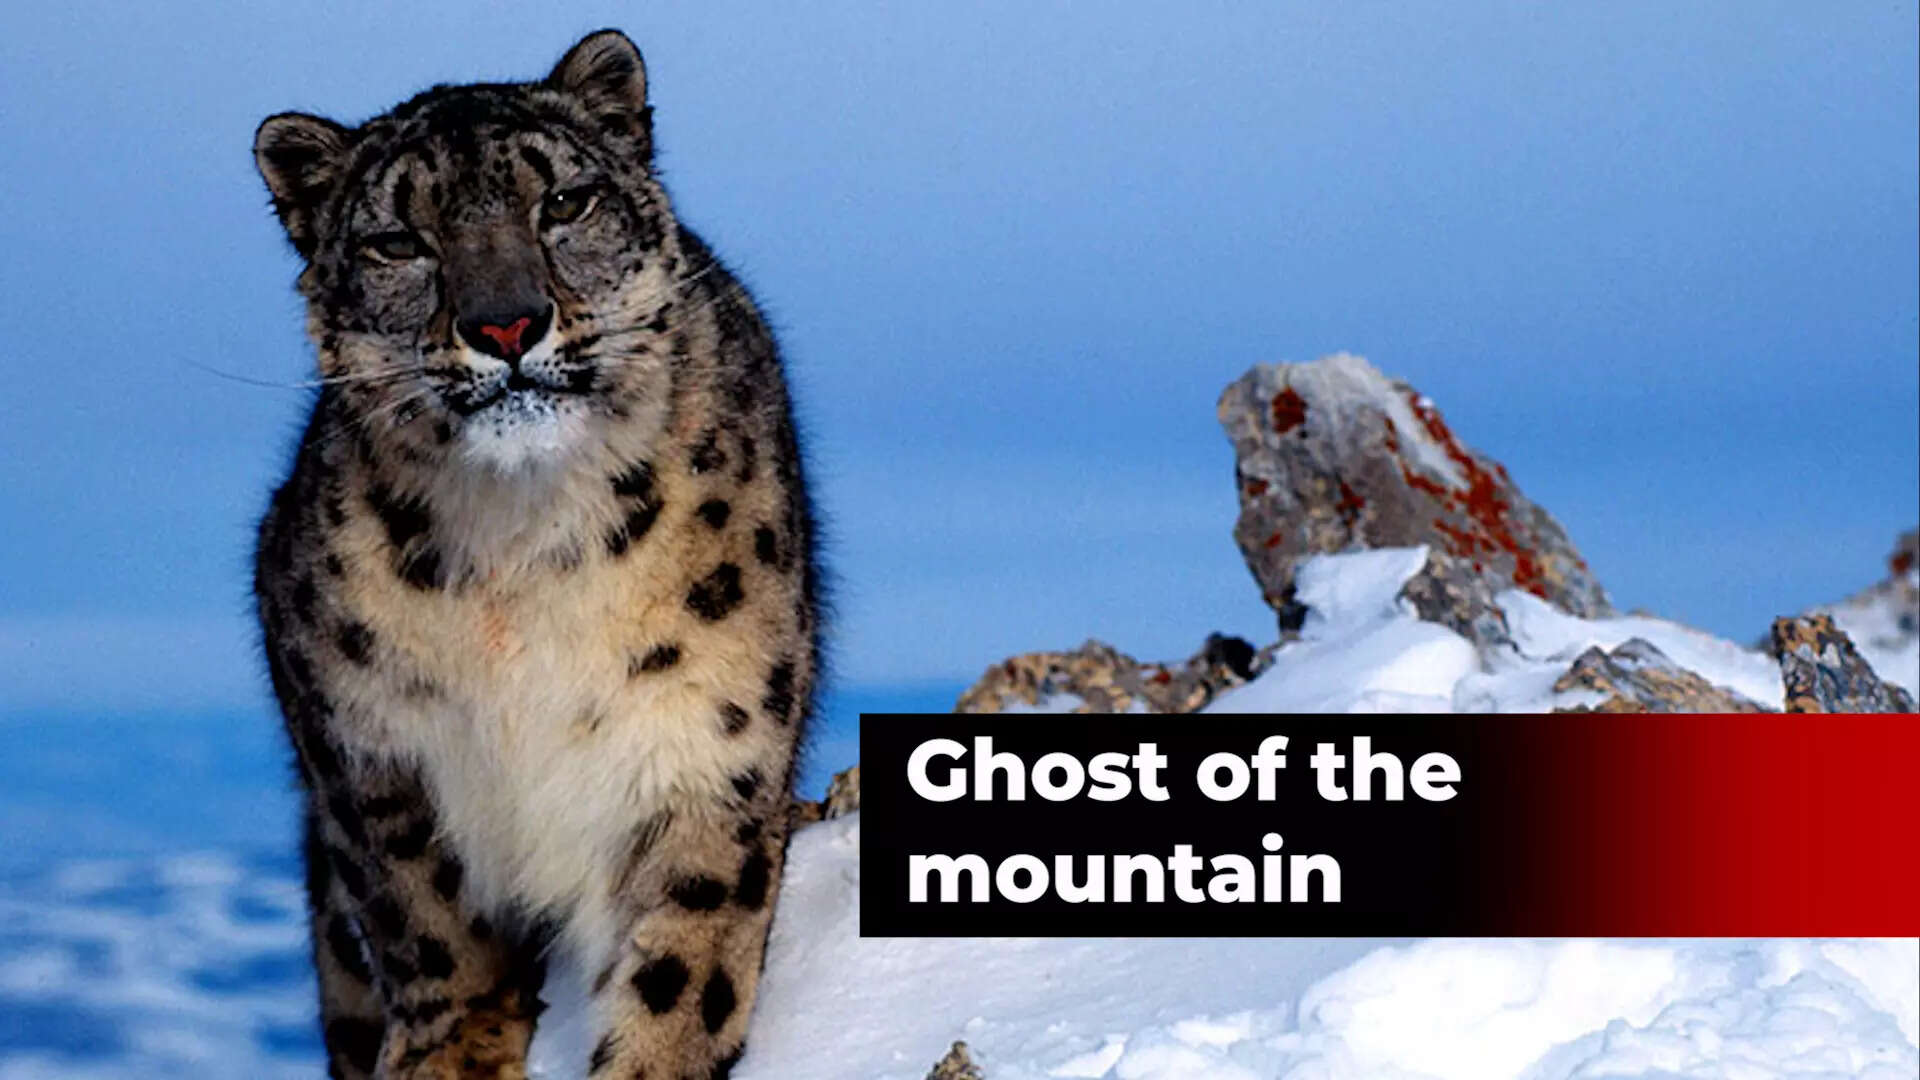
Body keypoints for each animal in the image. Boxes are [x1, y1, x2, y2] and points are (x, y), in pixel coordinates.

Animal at [250, 29, 820, 1079]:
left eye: (563, 202)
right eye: (398, 242)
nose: (506, 323)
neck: (519, 553)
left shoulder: (709, 745)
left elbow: (684, 971)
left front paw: (650, 1060)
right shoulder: (362, 742)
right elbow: (425, 917)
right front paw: (453, 1049)